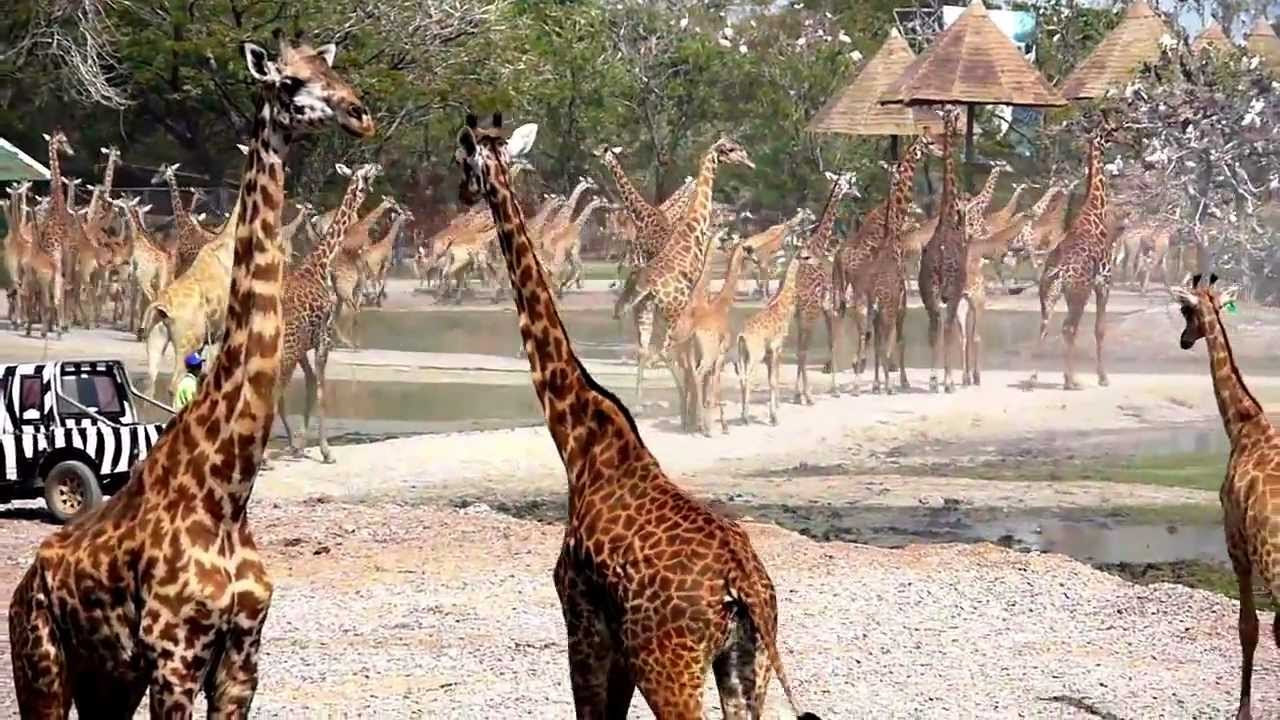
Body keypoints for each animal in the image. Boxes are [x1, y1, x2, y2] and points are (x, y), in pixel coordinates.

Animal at [278, 162, 380, 462]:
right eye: (367, 172)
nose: (377, 166)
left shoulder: (307, 345)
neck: (318, 264)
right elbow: (321, 388)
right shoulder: (323, 339)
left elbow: (312, 384)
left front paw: (300, 444)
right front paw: (325, 450)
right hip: (286, 348)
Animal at [614, 136, 756, 408]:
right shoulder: (696, 283)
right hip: (670, 310)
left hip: (645, 312)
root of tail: (645, 287)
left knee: (645, 350)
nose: (750, 163)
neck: (693, 225)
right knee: (664, 350)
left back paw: (639, 402)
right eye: (732, 150)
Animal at [793, 171, 860, 404]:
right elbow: (833, 344)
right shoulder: (829, 309)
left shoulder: (826, 310)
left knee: (800, 348)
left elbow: (831, 343)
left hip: (800, 312)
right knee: (804, 348)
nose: (857, 194)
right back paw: (808, 396)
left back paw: (800, 394)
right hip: (810, 310)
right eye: (850, 183)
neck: (817, 245)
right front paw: (835, 389)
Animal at [1027, 116, 1117, 390]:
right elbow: (1100, 329)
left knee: (1045, 325)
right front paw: (1103, 377)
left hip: (1049, 294)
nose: (1121, 138)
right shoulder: (1104, 282)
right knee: (1069, 328)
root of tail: (1058, 271)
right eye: (1112, 129)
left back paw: (1033, 378)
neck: (1096, 211)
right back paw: (1071, 380)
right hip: (1078, 293)